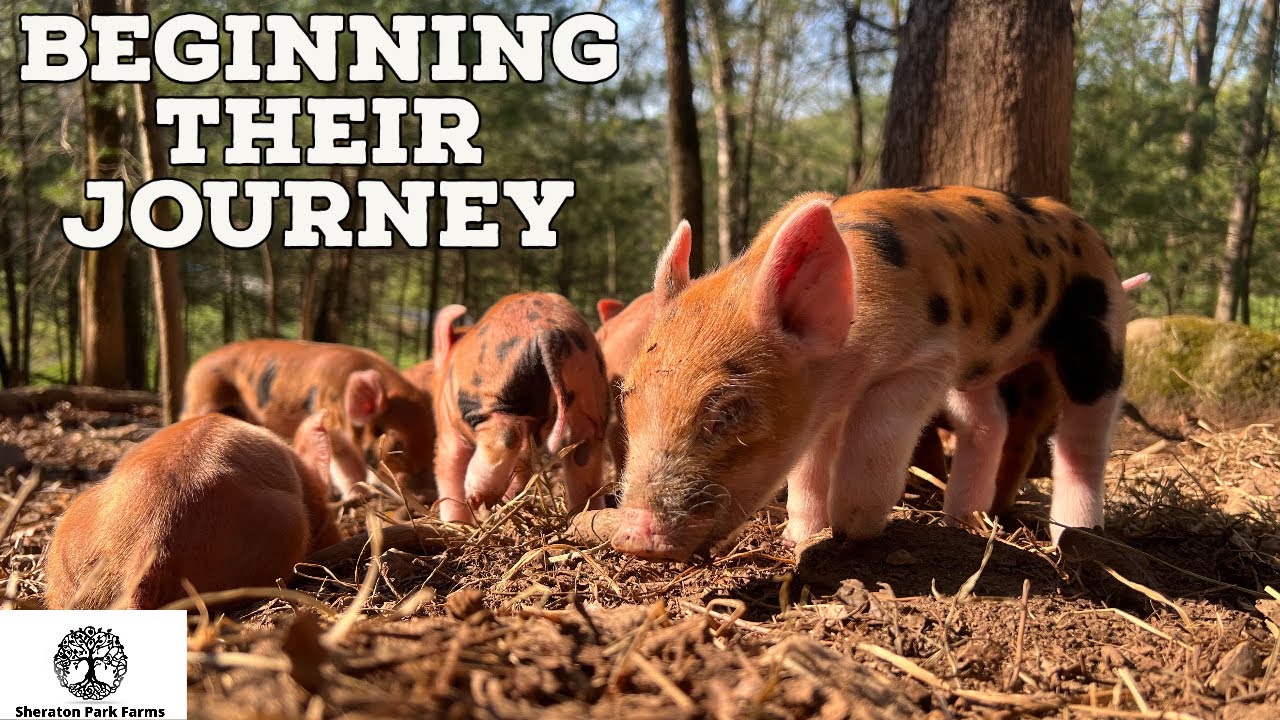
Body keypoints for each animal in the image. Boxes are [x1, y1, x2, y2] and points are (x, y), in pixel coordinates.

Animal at [182, 339, 435, 497]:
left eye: (432, 439)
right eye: (397, 446)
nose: (428, 495)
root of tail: (196, 366)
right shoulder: (332, 427)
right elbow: (345, 466)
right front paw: (357, 495)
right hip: (203, 395)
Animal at [432, 293, 609, 524]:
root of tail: (548, 330)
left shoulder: (447, 427)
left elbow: (449, 464)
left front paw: (453, 522)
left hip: (490, 394)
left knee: (505, 436)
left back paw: (478, 499)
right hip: (589, 391)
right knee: (584, 451)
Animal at [612, 187, 1131, 561]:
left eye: (729, 410)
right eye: (627, 398)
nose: (631, 536)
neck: (848, 369)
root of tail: (1083, 228)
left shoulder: (929, 359)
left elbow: (875, 434)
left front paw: (852, 529)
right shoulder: (821, 403)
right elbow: (808, 464)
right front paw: (801, 536)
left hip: (1099, 331)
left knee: (1082, 436)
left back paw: (1076, 534)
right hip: (977, 371)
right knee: (989, 424)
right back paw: (959, 521)